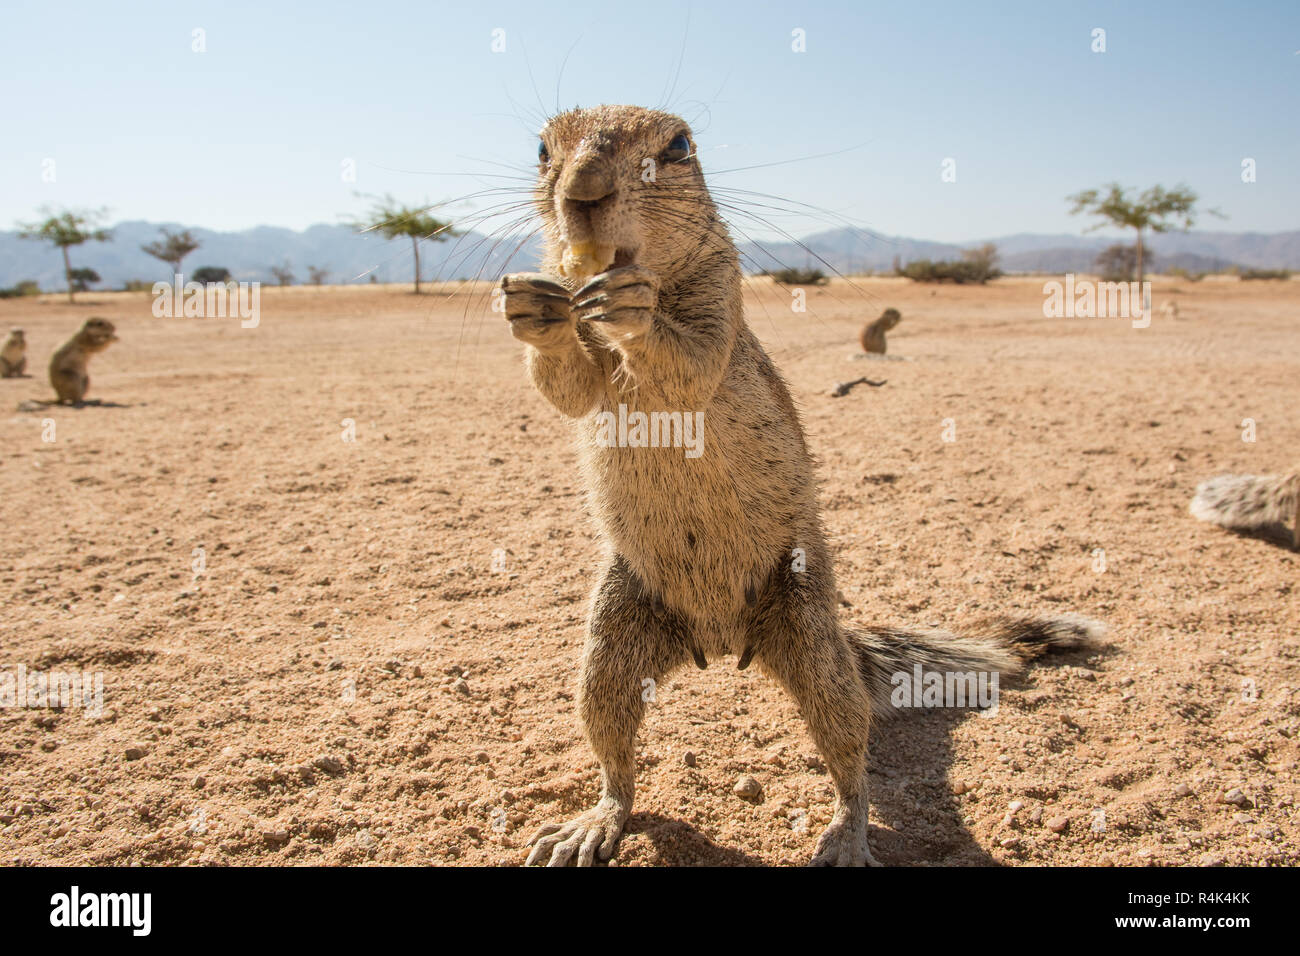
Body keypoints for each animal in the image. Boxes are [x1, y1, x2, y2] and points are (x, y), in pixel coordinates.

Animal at [500, 105, 1102, 866]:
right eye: (540, 149)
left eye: (680, 146)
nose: (582, 193)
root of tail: (720, 640)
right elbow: (570, 390)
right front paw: (532, 309)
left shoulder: (720, 293)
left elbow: (691, 360)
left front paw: (635, 308)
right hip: (611, 642)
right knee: (616, 759)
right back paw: (594, 822)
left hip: (812, 637)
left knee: (850, 754)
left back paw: (846, 834)